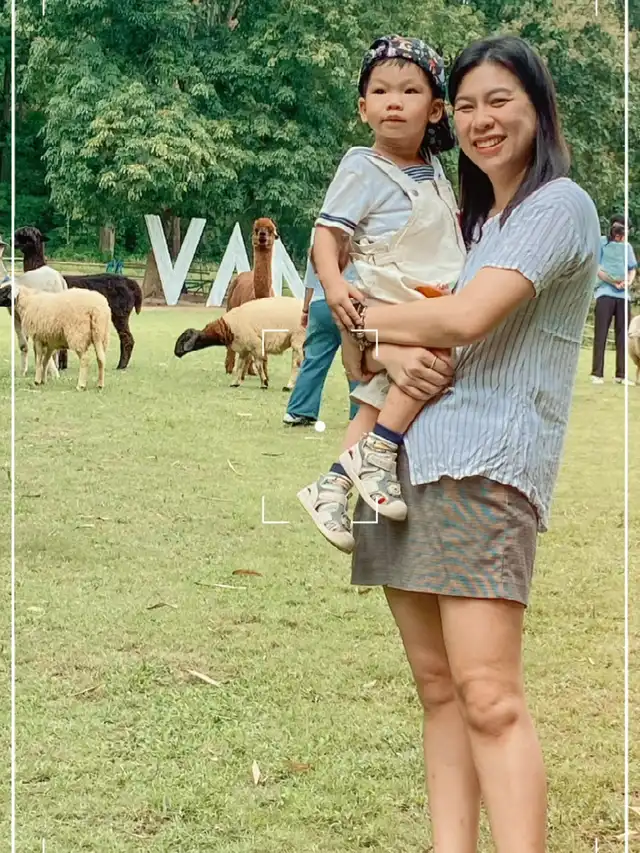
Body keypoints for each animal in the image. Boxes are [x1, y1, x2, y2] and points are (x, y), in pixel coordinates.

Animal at [174, 296, 305, 391]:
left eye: (184, 339)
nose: (176, 353)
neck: (226, 328)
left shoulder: (256, 345)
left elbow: (258, 365)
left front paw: (264, 383)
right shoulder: (244, 349)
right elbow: (239, 366)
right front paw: (234, 383)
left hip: (298, 339)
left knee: (297, 363)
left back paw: (289, 386)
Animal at [221, 217, 277, 374]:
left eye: (271, 230)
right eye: (256, 230)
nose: (263, 235)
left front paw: (261, 370)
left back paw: (250, 370)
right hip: (231, 307)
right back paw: (230, 367)